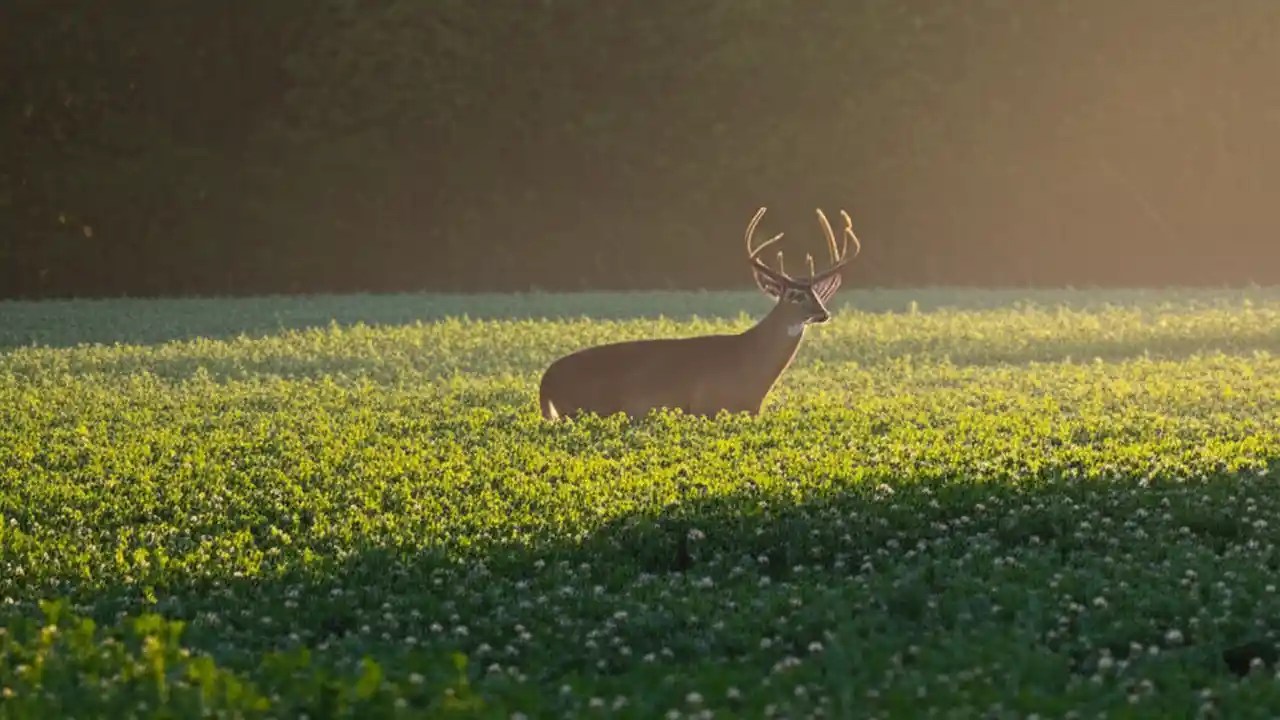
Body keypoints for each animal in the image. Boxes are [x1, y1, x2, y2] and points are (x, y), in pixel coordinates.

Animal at [537, 207, 861, 421]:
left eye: (817, 293)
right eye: (795, 295)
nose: (823, 313)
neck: (749, 366)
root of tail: (546, 379)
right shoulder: (707, 407)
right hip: (582, 411)